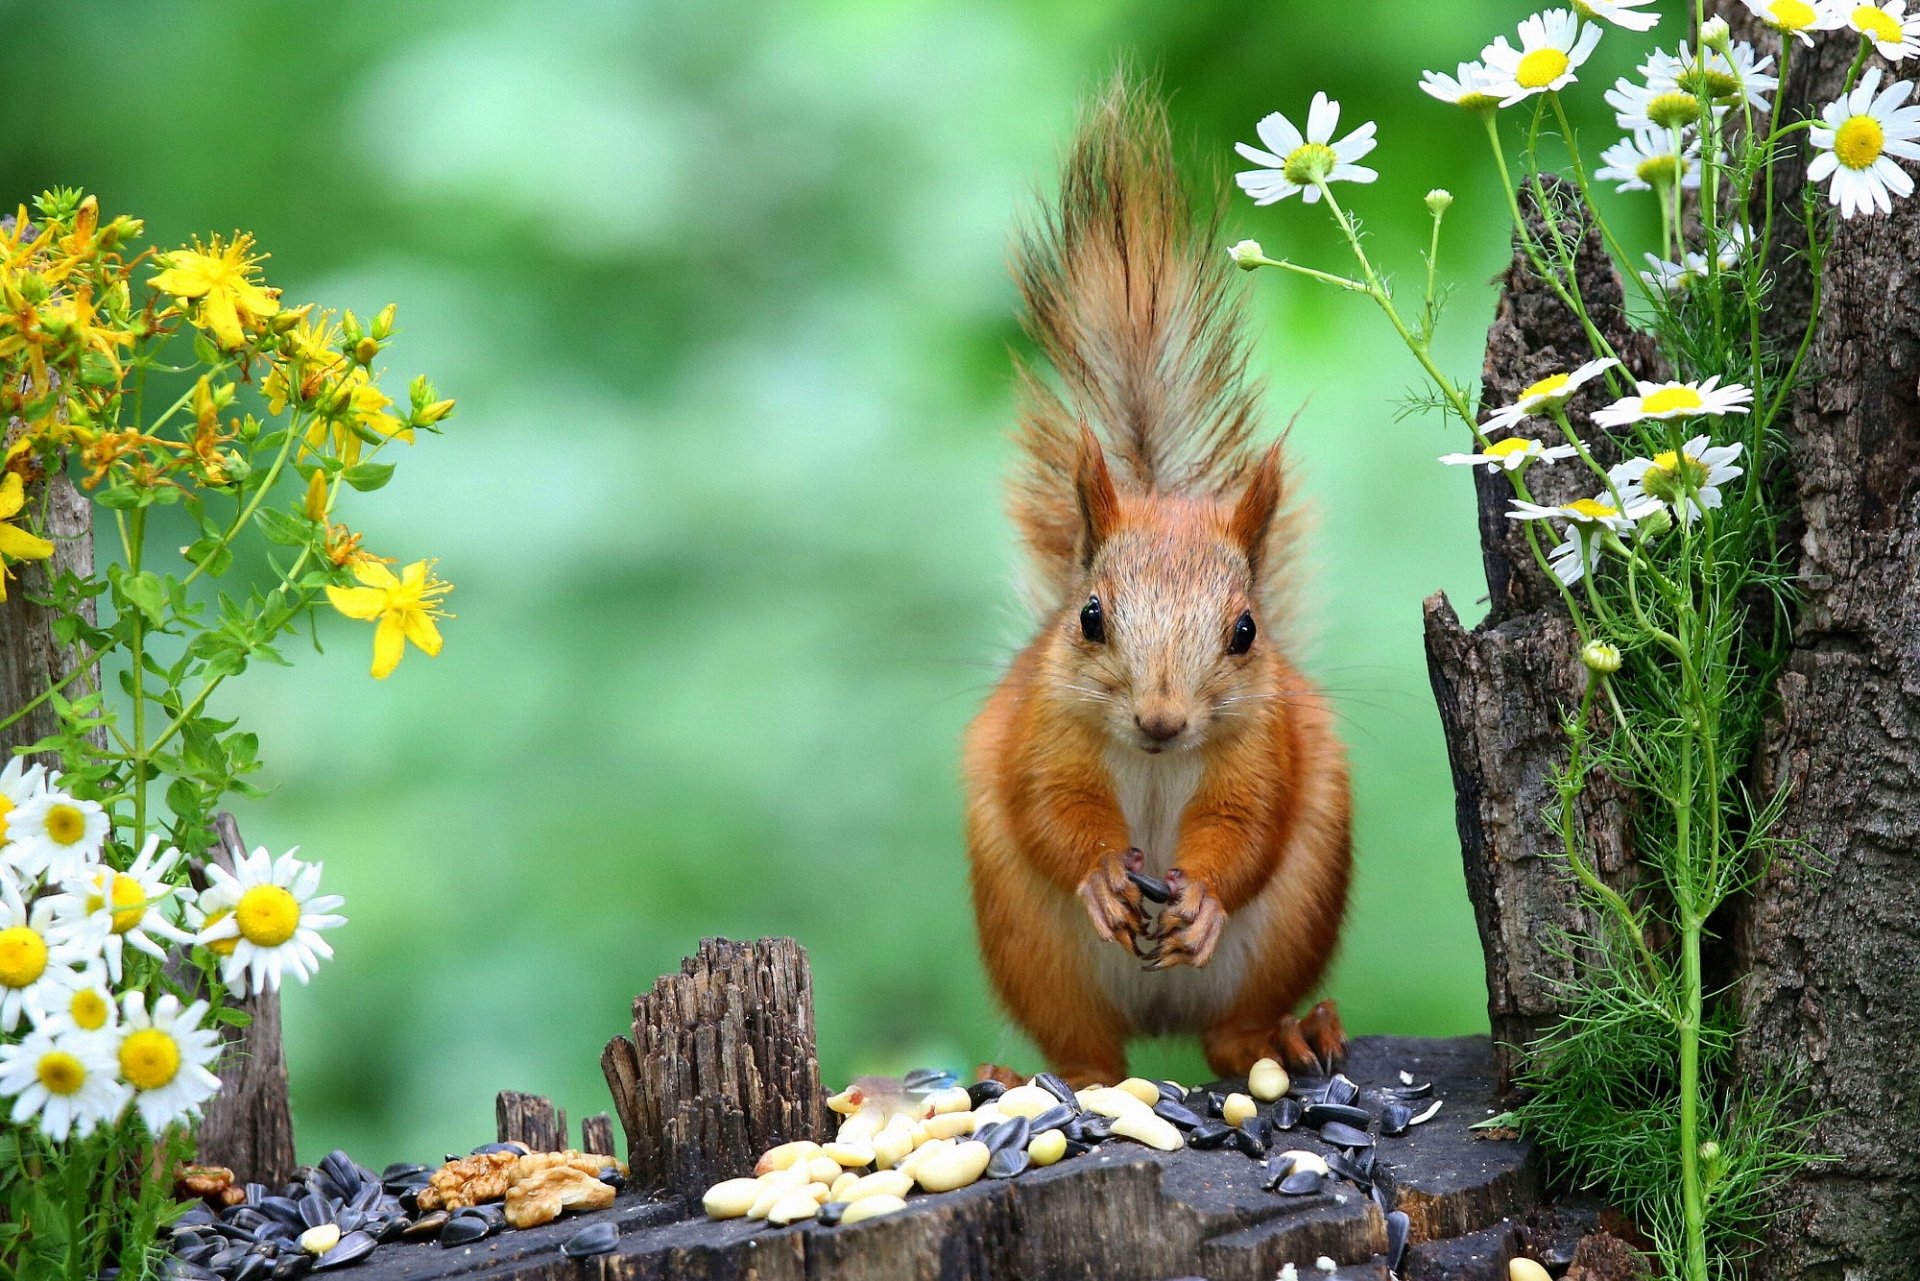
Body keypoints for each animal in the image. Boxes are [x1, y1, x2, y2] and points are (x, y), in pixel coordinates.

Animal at [963, 77, 1352, 1088]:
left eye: (1246, 631)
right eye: (1090, 617)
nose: (1162, 718)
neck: (1154, 763)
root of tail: (1161, 1020)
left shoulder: (1266, 751)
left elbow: (1248, 828)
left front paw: (1204, 894)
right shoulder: (1042, 731)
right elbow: (1051, 809)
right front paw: (1105, 873)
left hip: (1290, 926)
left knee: (1233, 1034)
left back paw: (1289, 1036)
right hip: (1031, 946)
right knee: (1085, 1051)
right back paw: (1047, 1081)